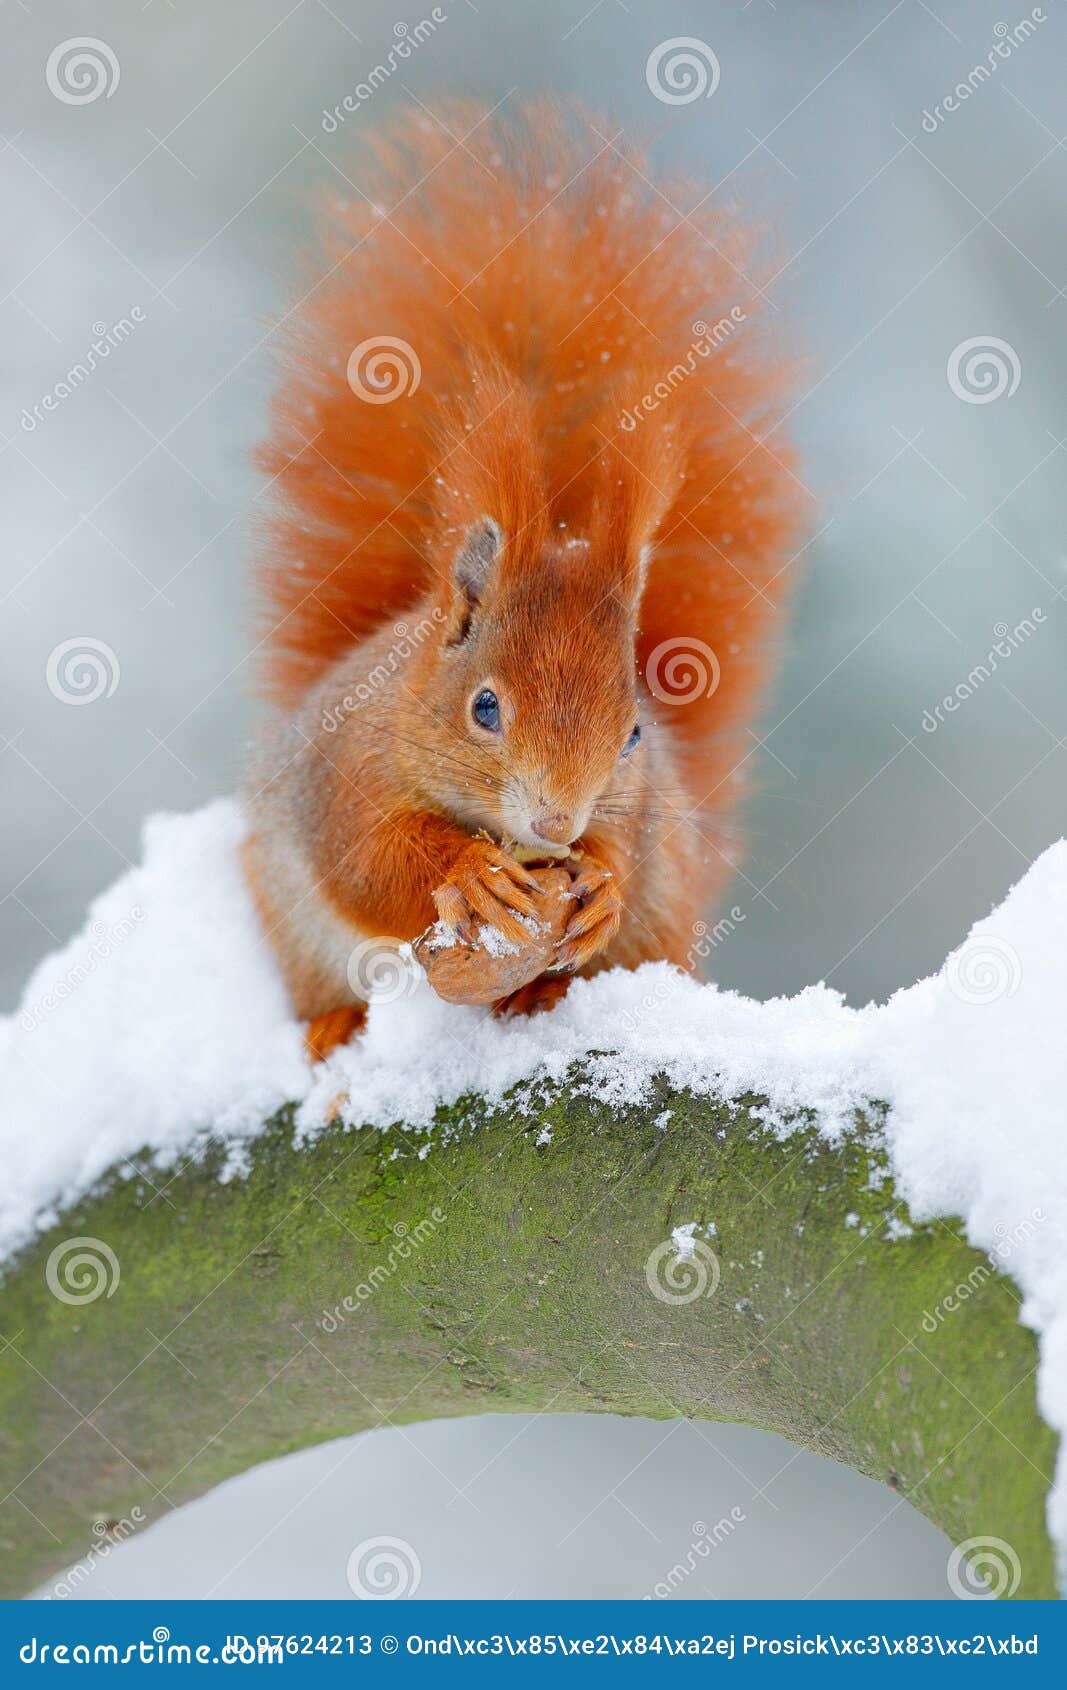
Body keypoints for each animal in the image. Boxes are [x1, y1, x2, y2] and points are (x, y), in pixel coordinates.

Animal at [242, 102, 803, 1061]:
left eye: (633, 732)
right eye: (485, 709)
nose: (553, 828)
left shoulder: (638, 808)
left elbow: (625, 855)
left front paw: (600, 885)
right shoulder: (342, 779)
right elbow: (370, 863)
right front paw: (472, 874)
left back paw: (542, 991)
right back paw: (336, 1025)